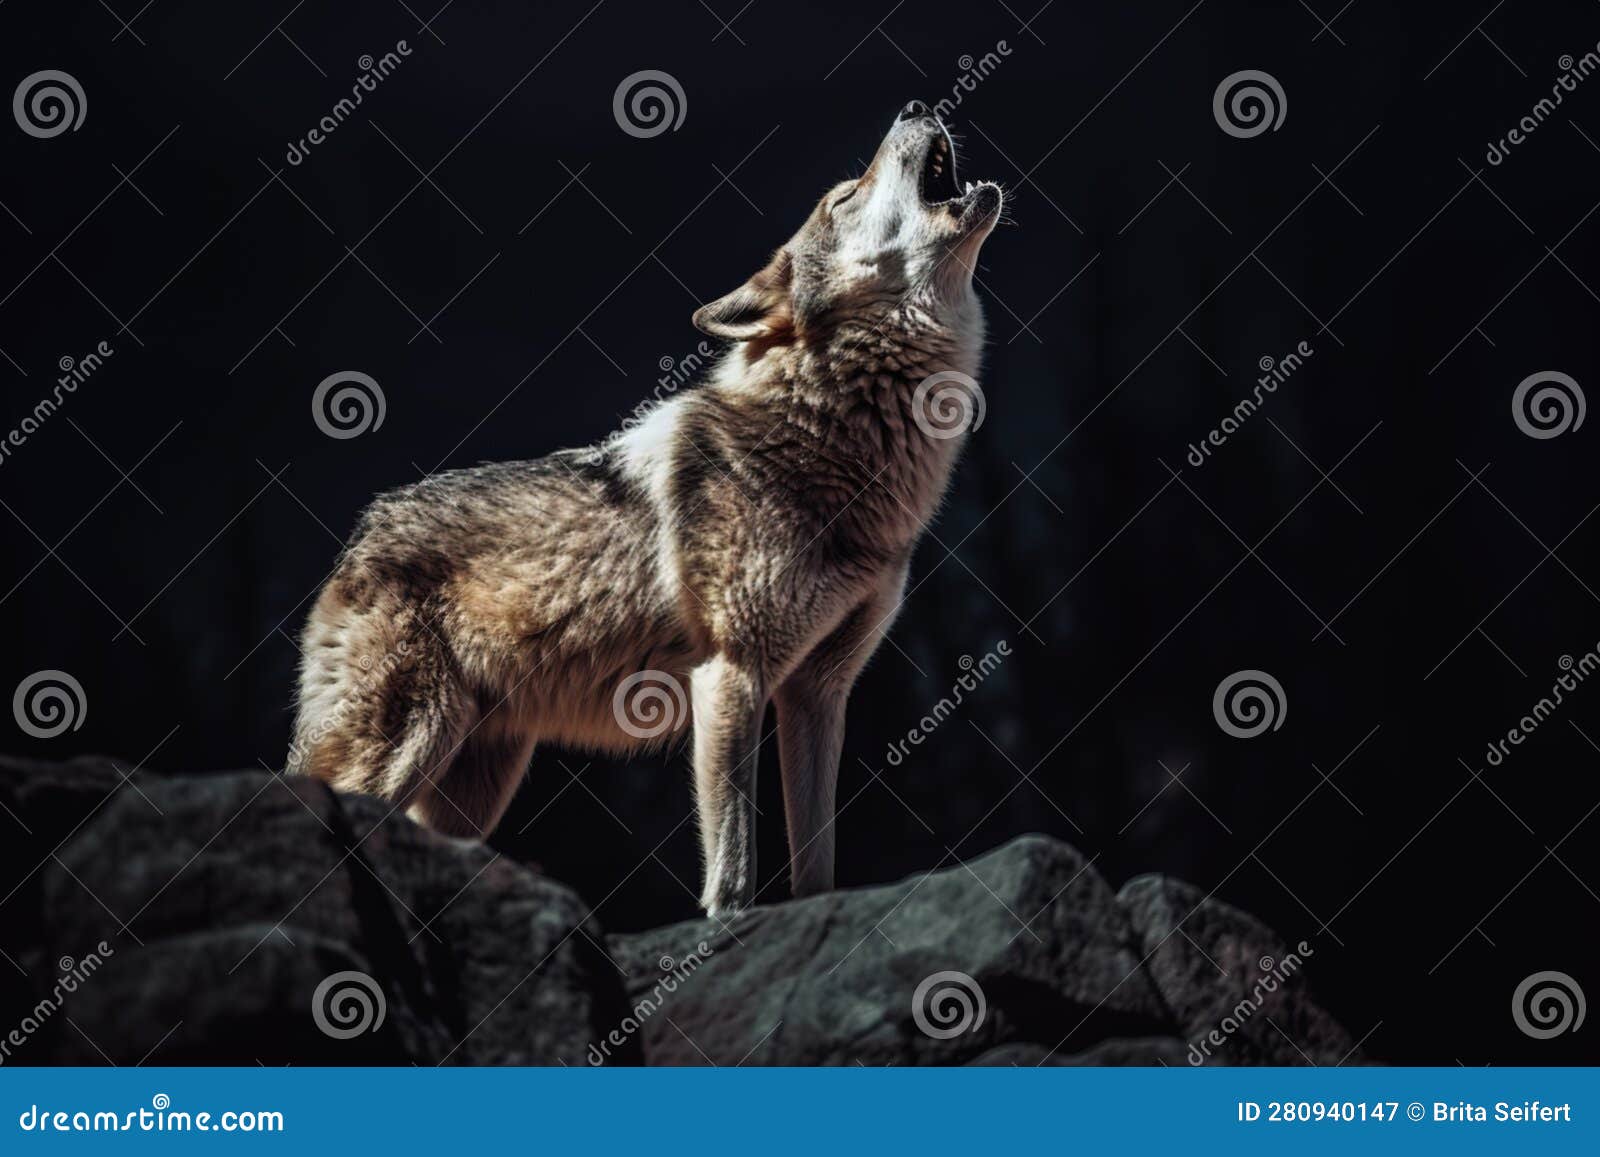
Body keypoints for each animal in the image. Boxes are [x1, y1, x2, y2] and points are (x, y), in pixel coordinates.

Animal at [289, 100, 1004, 916]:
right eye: (843, 196)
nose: (915, 107)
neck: (829, 435)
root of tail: (361, 531)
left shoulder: (817, 694)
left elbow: (816, 865)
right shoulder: (731, 673)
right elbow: (733, 866)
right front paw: (724, 932)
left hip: (470, 783)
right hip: (402, 743)